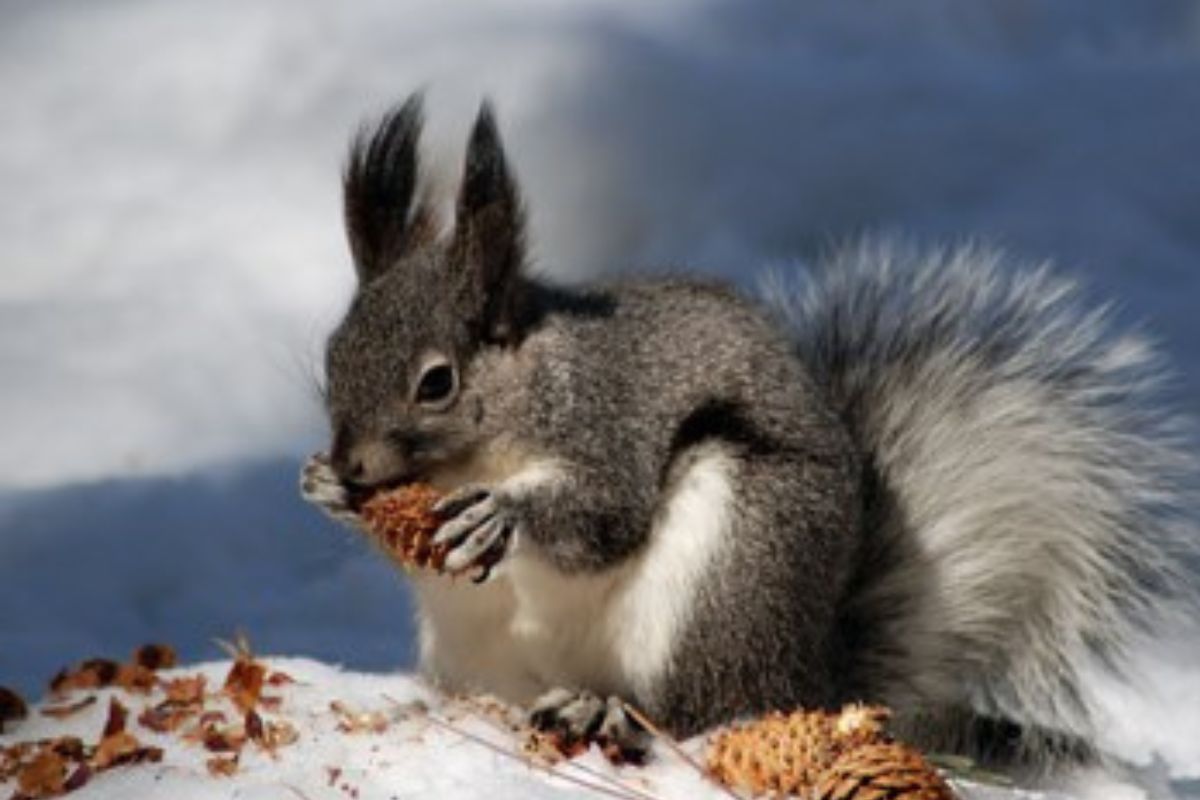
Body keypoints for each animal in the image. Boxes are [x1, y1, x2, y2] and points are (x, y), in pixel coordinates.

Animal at [301, 94, 1197, 769]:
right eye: (333, 351)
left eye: (437, 382)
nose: (353, 461)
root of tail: (814, 677)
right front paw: (323, 487)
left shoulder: (606, 422)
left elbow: (605, 517)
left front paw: (502, 515)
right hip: (473, 652)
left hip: (728, 571)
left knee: (699, 710)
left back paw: (608, 714)